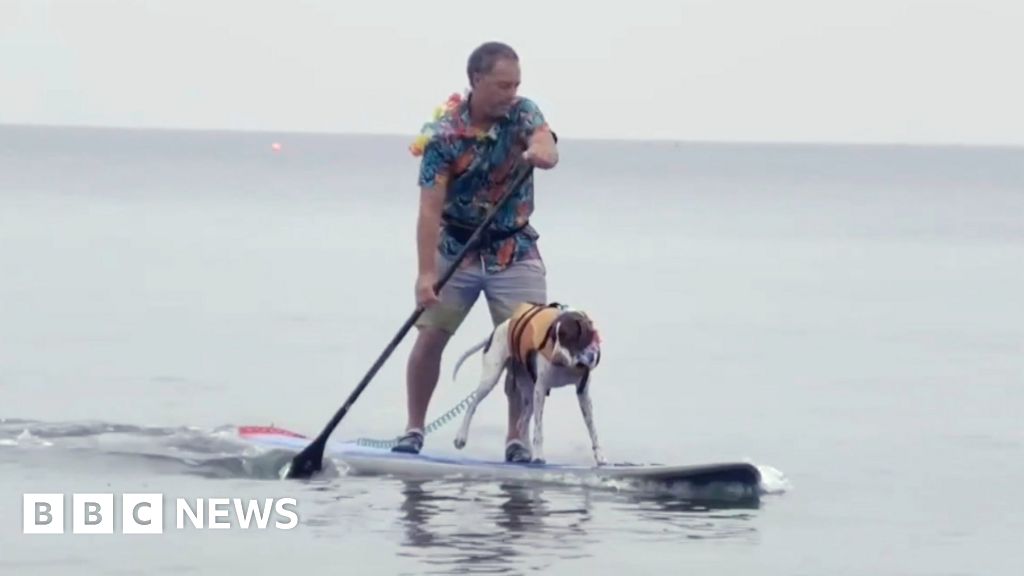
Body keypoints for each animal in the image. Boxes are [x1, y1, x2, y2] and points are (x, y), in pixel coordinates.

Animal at [450, 302, 606, 465]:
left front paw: (600, 456)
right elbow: (538, 429)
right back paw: (461, 437)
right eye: (553, 338)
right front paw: (539, 456)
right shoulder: (541, 389)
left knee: (521, 422)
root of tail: (496, 330)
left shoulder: (583, 393)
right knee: (472, 405)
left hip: (529, 394)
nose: (556, 358)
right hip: (491, 379)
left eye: (567, 336)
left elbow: (592, 429)